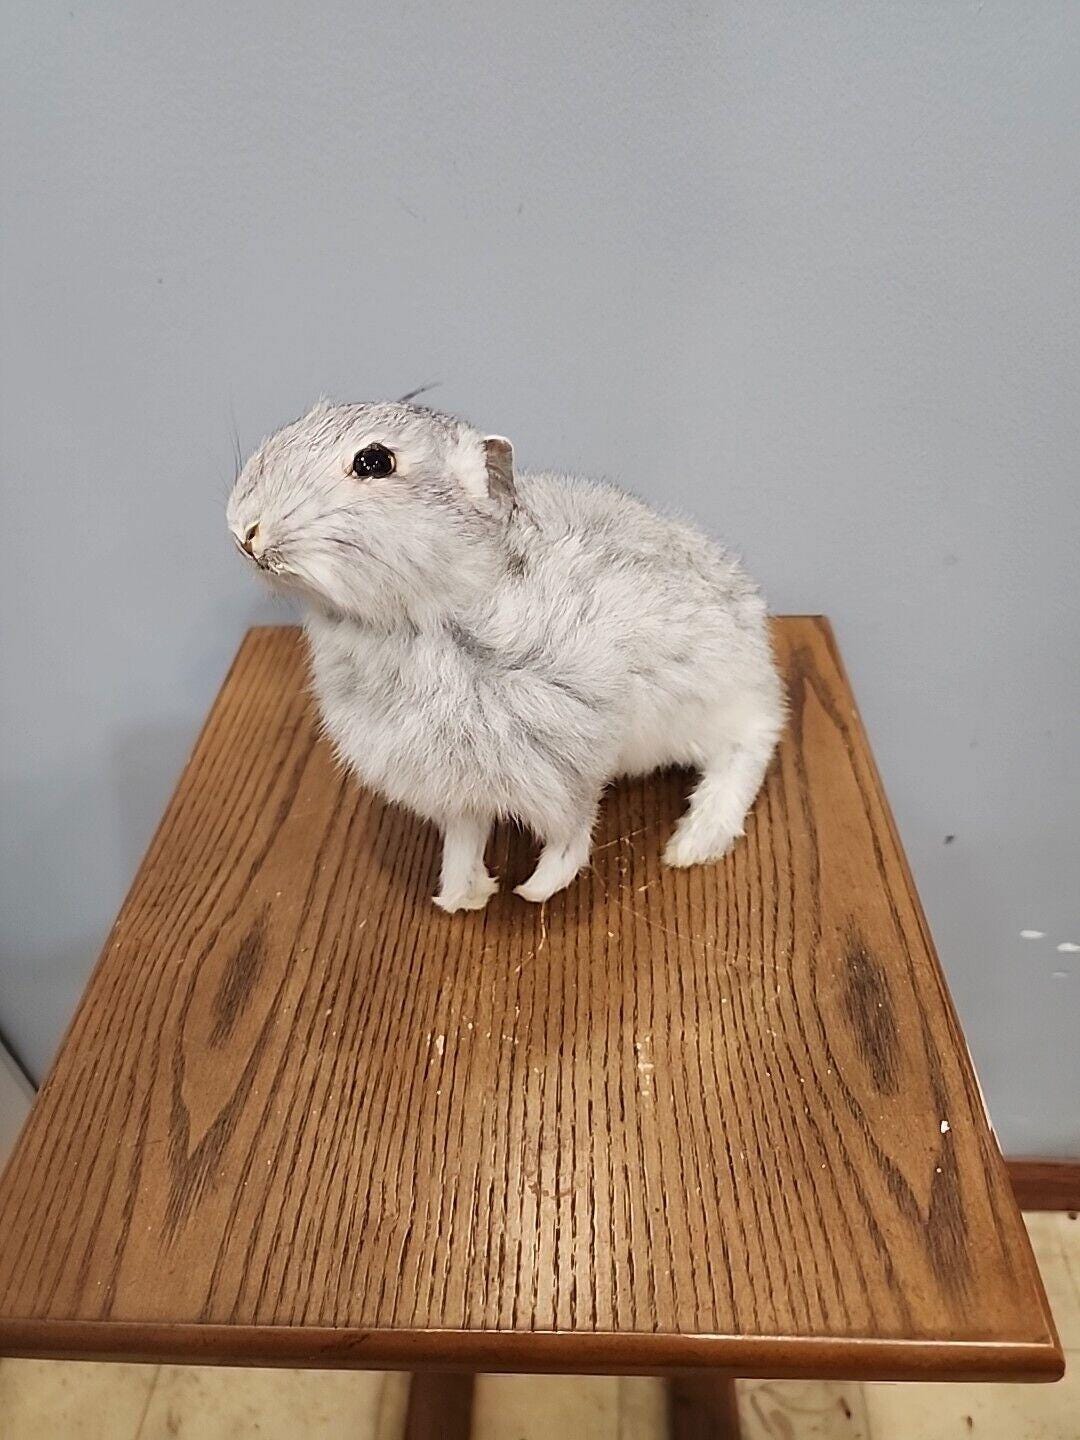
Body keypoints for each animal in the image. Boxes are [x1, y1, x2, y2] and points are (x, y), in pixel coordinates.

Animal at [227, 400, 785, 912]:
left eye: (373, 461)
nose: (245, 530)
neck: (415, 621)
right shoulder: (458, 787)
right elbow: (464, 837)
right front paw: (462, 896)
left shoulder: (570, 761)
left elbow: (572, 830)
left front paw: (534, 891)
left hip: (712, 698)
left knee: (753, 739)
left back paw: (694, 843)